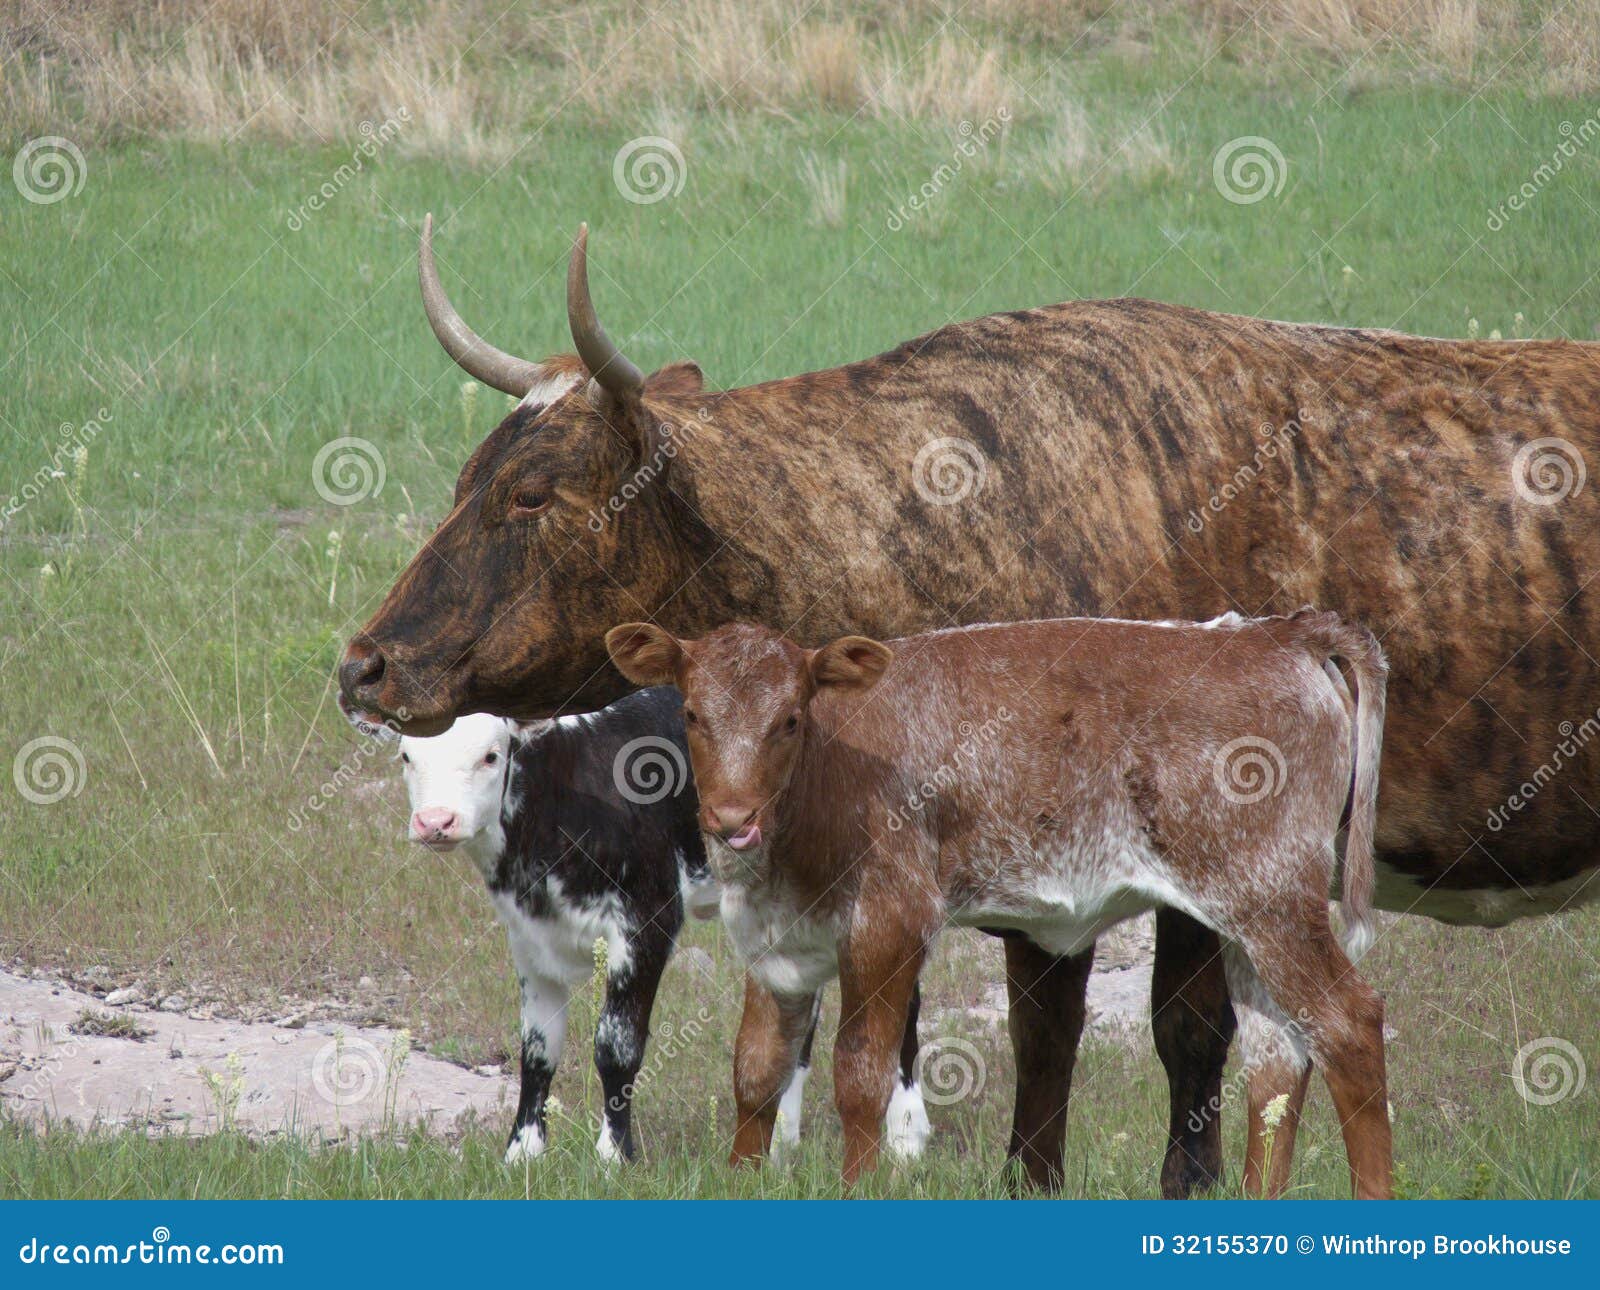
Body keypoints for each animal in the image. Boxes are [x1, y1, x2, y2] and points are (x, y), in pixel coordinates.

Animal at [368, 695, 930, 1162]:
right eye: (407, 757)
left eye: (490, 756)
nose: (436, 822)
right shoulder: (528, 937)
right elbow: (538, 1050)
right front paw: (523, 1152)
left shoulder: (646, 918)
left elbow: (617, 1045)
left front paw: (615, 1156)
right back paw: (782, 1138)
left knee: (902, 1000)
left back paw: (906, 1134)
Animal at [604, 610, 1392, 1196]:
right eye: (692, 713)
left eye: (791, 719)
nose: (732, 818)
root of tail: (1273, 633)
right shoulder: (776, 944)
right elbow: (756, 1070)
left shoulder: (891, 921)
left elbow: (860, 1073)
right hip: (1244, 919)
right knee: (1277, 1059)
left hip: (1273, 898)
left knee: (1348, 1023)